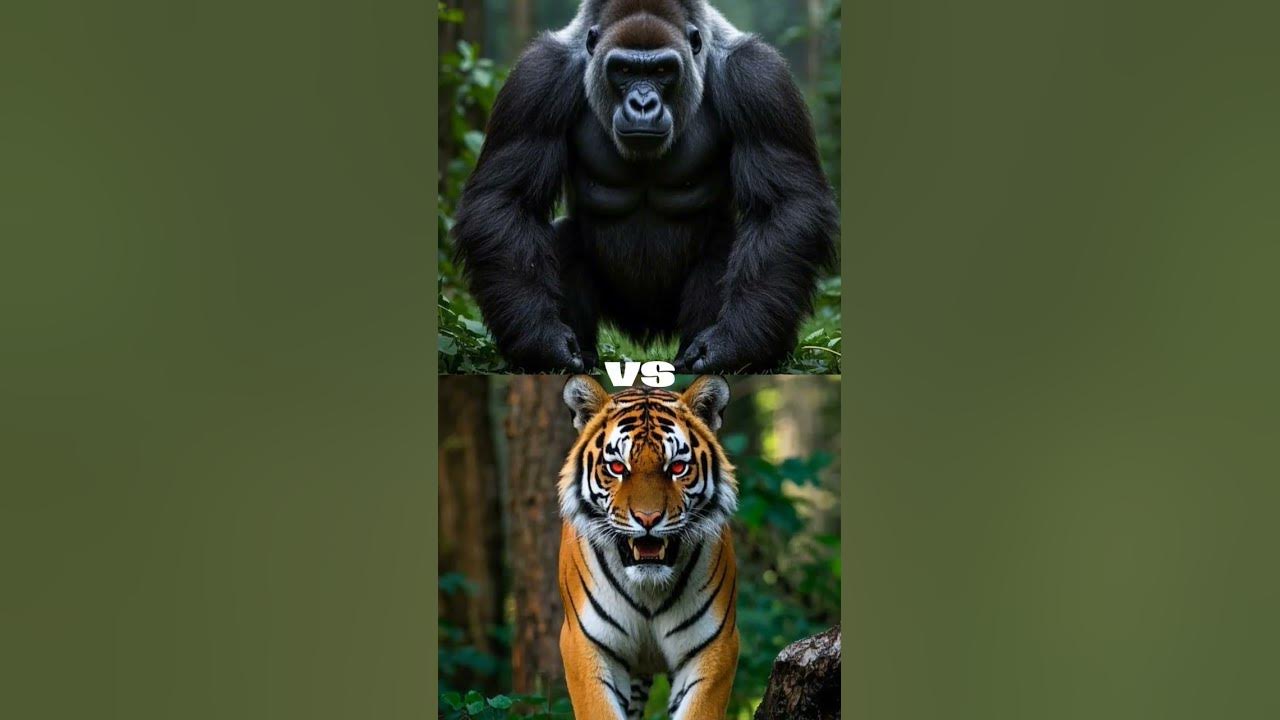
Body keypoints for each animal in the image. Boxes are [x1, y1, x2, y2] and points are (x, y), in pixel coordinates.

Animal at [557, 375, 739, 720]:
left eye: (677, 468)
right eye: (617, 468)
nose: (648, 518)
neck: (648, 589)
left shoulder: (713, 647)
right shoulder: (586, 645)